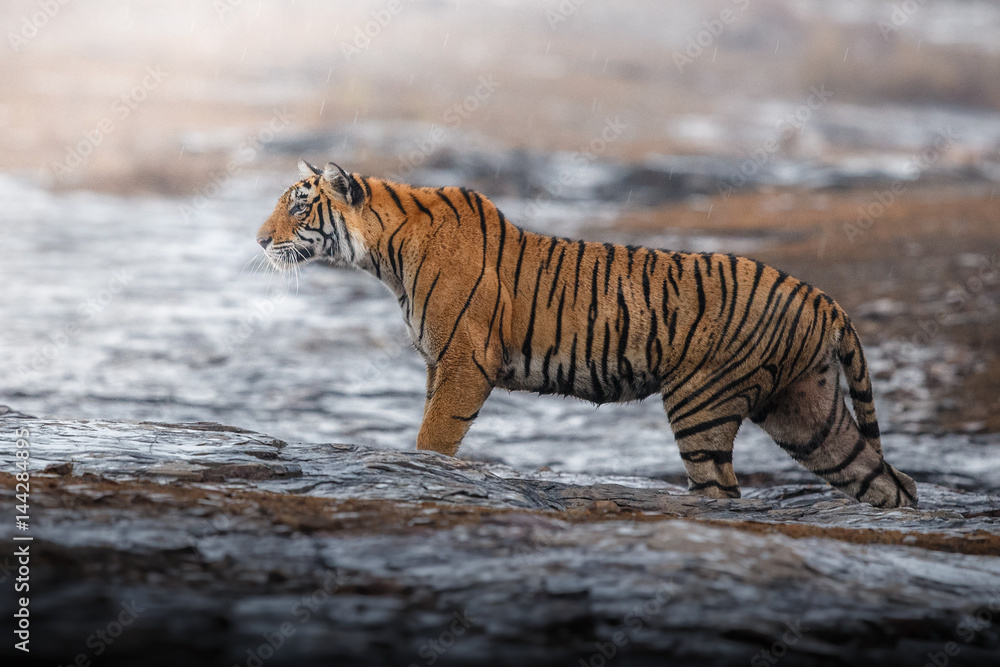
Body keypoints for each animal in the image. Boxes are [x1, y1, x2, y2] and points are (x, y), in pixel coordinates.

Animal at [256, 159, 918, 509]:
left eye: (298, 207)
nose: (259, 241)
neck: (383, 255)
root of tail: (818, 295)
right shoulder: (437, 365)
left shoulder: (463, 362)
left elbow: (433, 439)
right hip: (805, 411)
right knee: (887, 478)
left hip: (703, 403)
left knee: (721, 489)